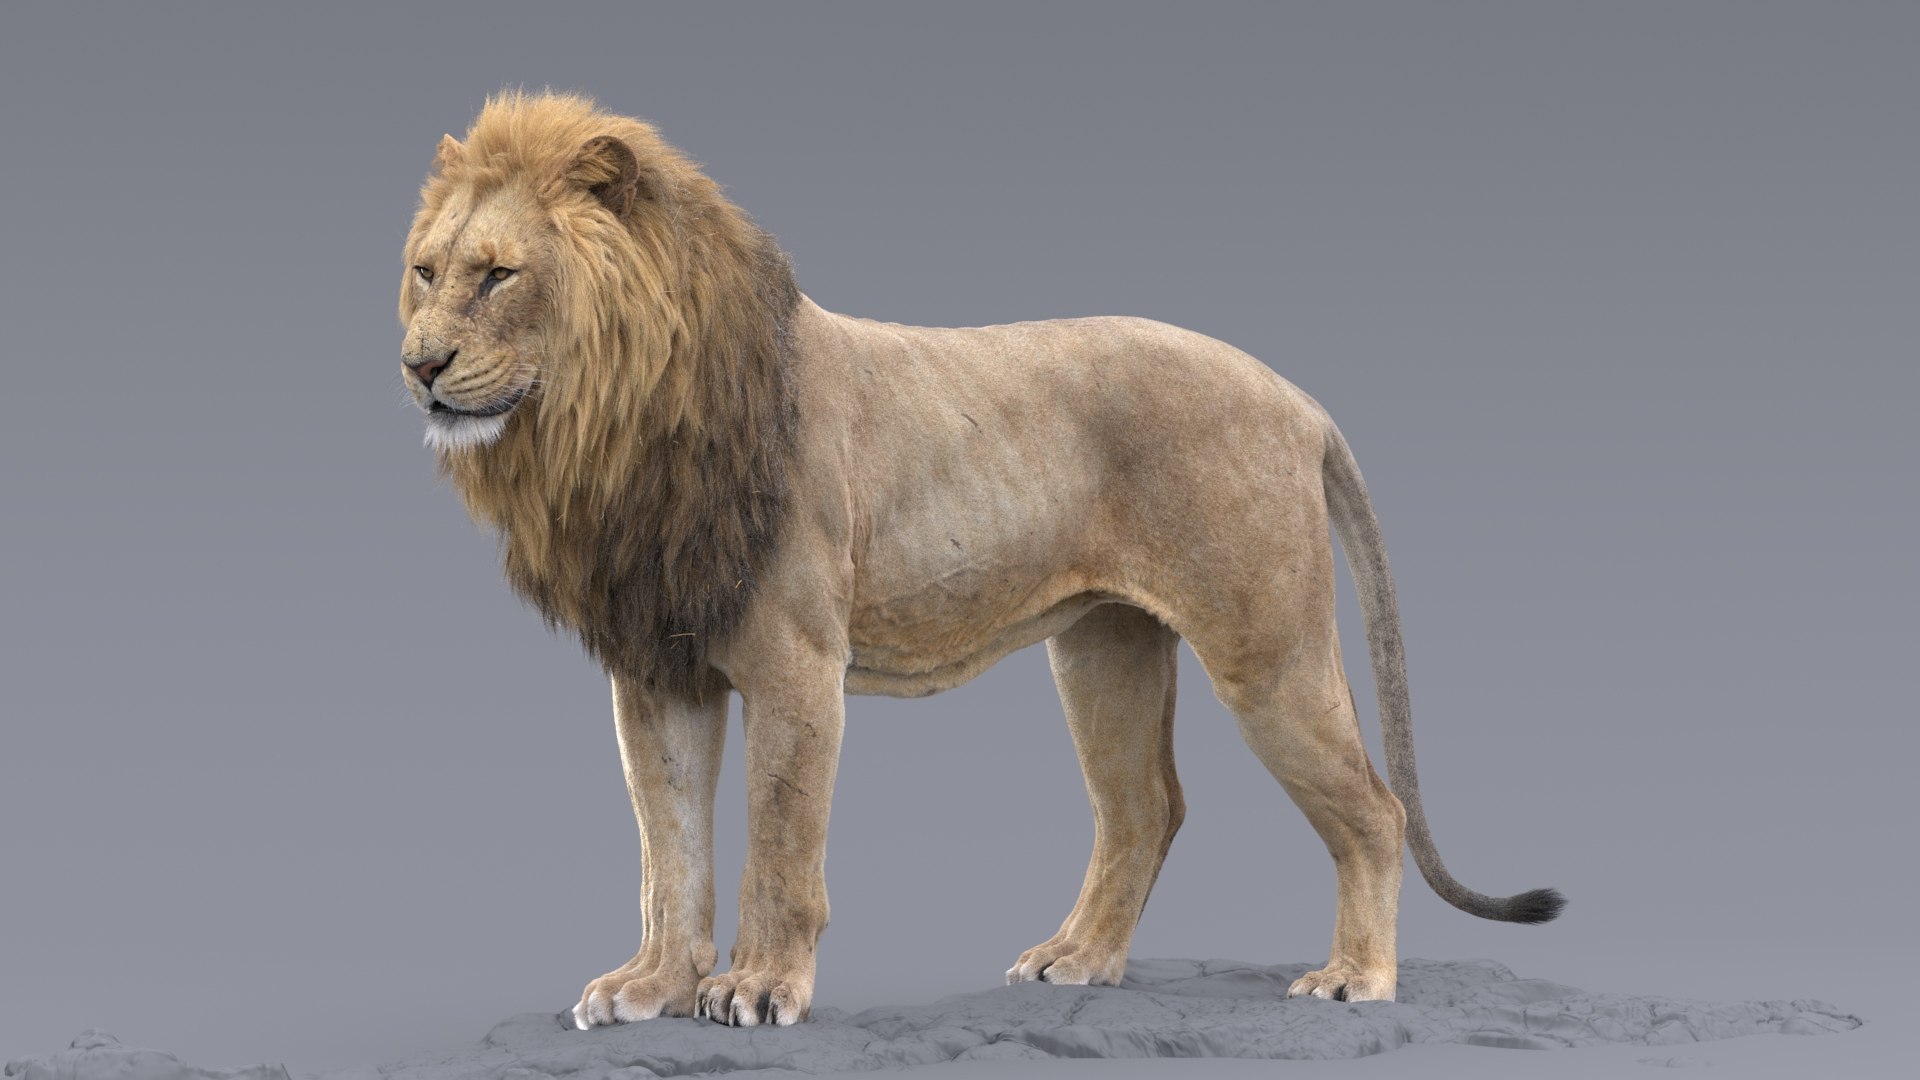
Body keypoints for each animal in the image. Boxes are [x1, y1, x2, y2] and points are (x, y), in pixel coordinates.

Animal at [398, 91, 1563, 1030]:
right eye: (424, 272)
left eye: (498, 276)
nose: (418, 365)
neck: (609, 433)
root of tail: (1297, 395)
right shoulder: (658, 670)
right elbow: (669, 850)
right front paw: (651, 986)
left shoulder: (796, 664)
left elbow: (779, 843)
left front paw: (759, 989)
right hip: (1104, 647)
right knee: (1146, 806)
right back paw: (1078, 960)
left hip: (1264, 647)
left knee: (1373, 809)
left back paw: (1355, 979)